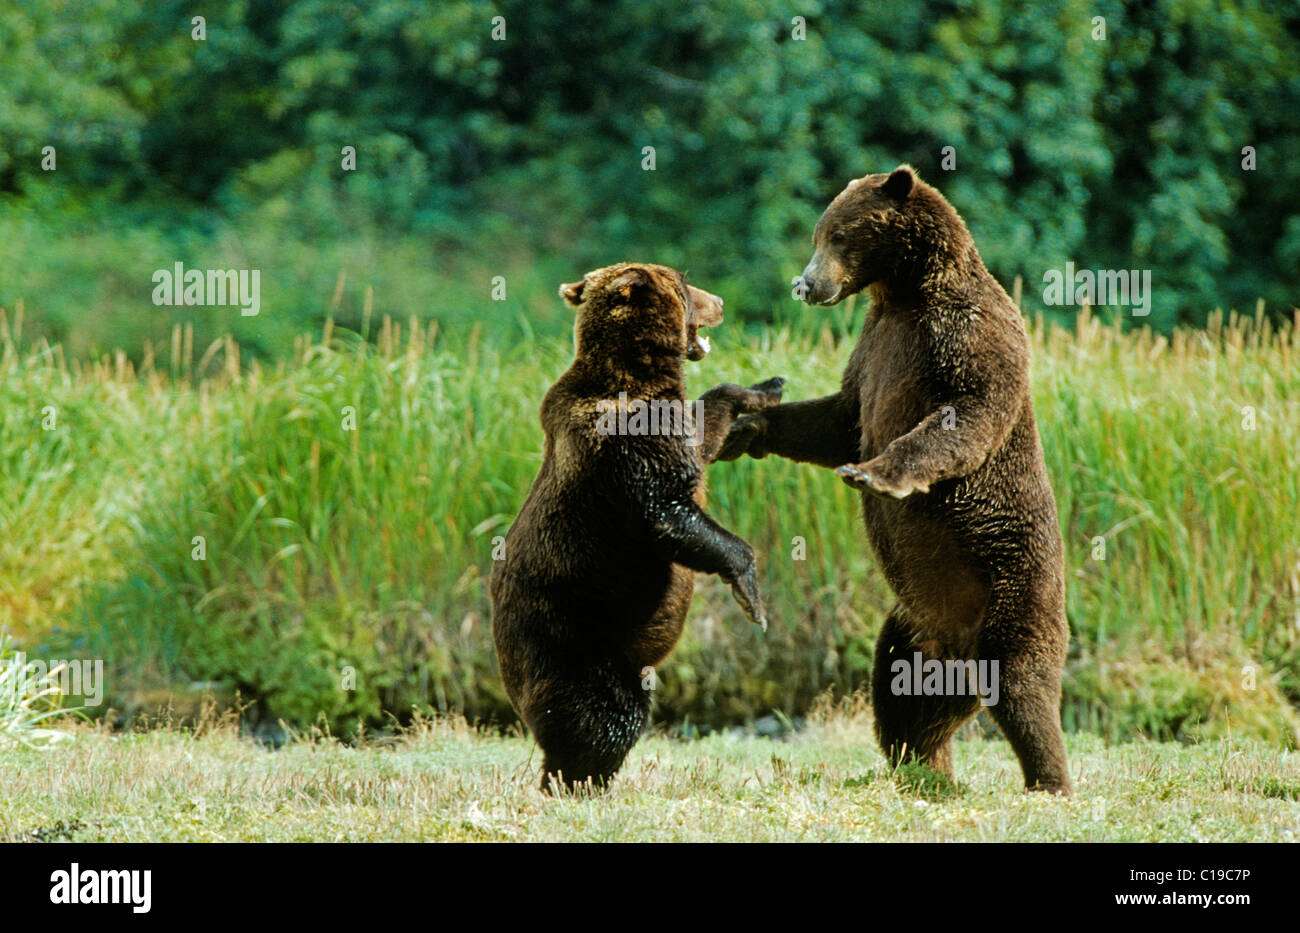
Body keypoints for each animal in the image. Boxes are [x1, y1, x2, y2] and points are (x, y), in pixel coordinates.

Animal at [490, 262, 783, 793]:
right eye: (686, 284)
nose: (720, 302)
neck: (636, 372)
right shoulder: (625, 442)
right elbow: (667, 513)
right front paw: (752, 598)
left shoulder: (672, 422)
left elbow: (704, 428)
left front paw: (764, 391)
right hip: (575, 640)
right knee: (606, 716)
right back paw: (578, 783)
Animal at [715, 166, 1072, 794]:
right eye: (818, 234)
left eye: (836, 235)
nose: (805, 285)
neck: (906, 291)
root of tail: (957, 651)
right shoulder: (875, 346)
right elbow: (838, 417)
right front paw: (746, 423)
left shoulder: (963, 335)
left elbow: (966, 412)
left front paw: (873, 474)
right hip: (911, 627)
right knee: (903, 701)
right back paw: (924, 771)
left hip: (1014, 588)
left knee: (1022, 685)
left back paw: (1048, 782)